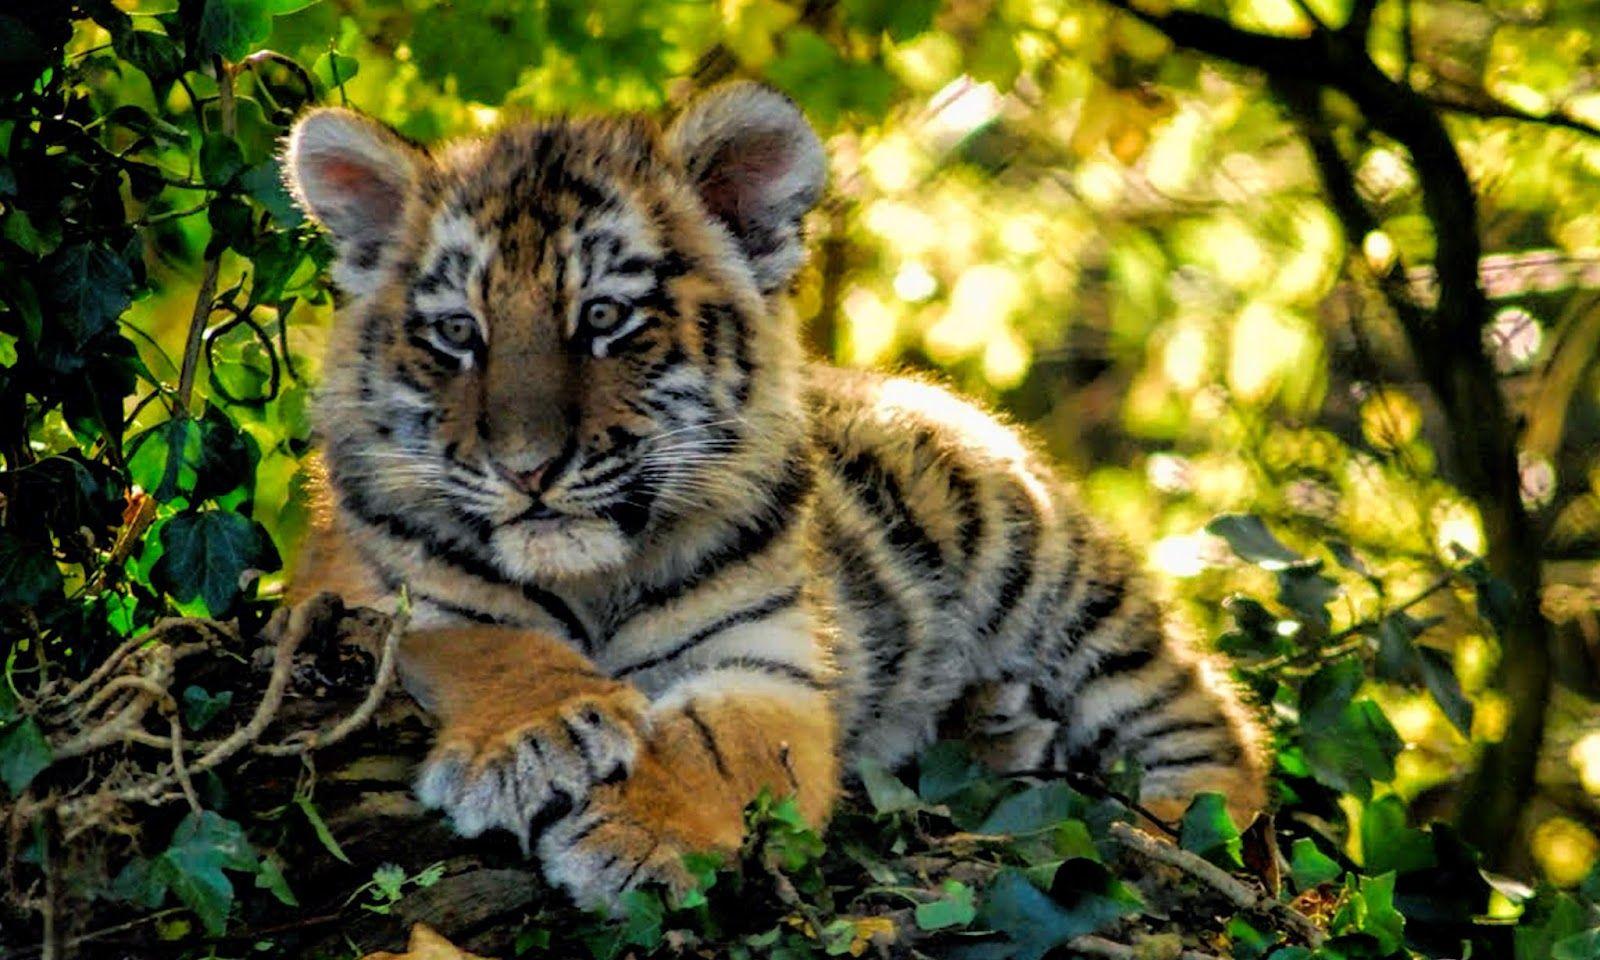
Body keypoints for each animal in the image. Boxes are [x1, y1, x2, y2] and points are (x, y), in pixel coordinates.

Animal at [282, 81, 1267, 910]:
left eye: (604, 317)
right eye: (457, 332)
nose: (528, 469)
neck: (593, 577)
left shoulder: (771, 662)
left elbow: (722, 746)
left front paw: (641, 835)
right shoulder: (362, 595)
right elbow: (478, 639)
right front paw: (540, 738)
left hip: (1047, 561)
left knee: (1207, 720)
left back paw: (1183, 834)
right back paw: (995, 731)